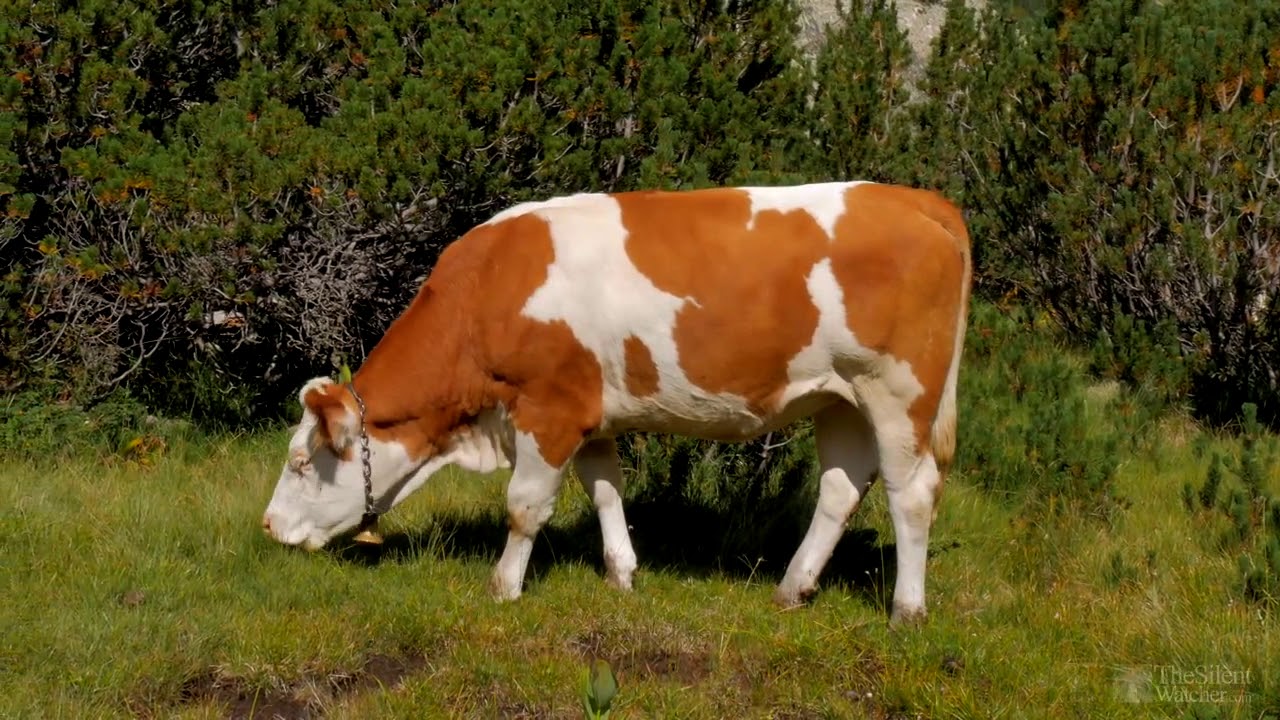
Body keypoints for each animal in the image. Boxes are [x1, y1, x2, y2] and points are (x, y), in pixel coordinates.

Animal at [261, 180, 972, 625]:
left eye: (301, 462)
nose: (267, 527)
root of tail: (915, 199)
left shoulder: (548, 408)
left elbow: (524, 506)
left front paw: (504, 586)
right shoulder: (591, 411)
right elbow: (605, 489)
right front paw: (621, 572)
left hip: (898, 392)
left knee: (912, 494)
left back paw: (907, 610)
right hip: (839, 399)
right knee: (840, 489)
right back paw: (792, 589)